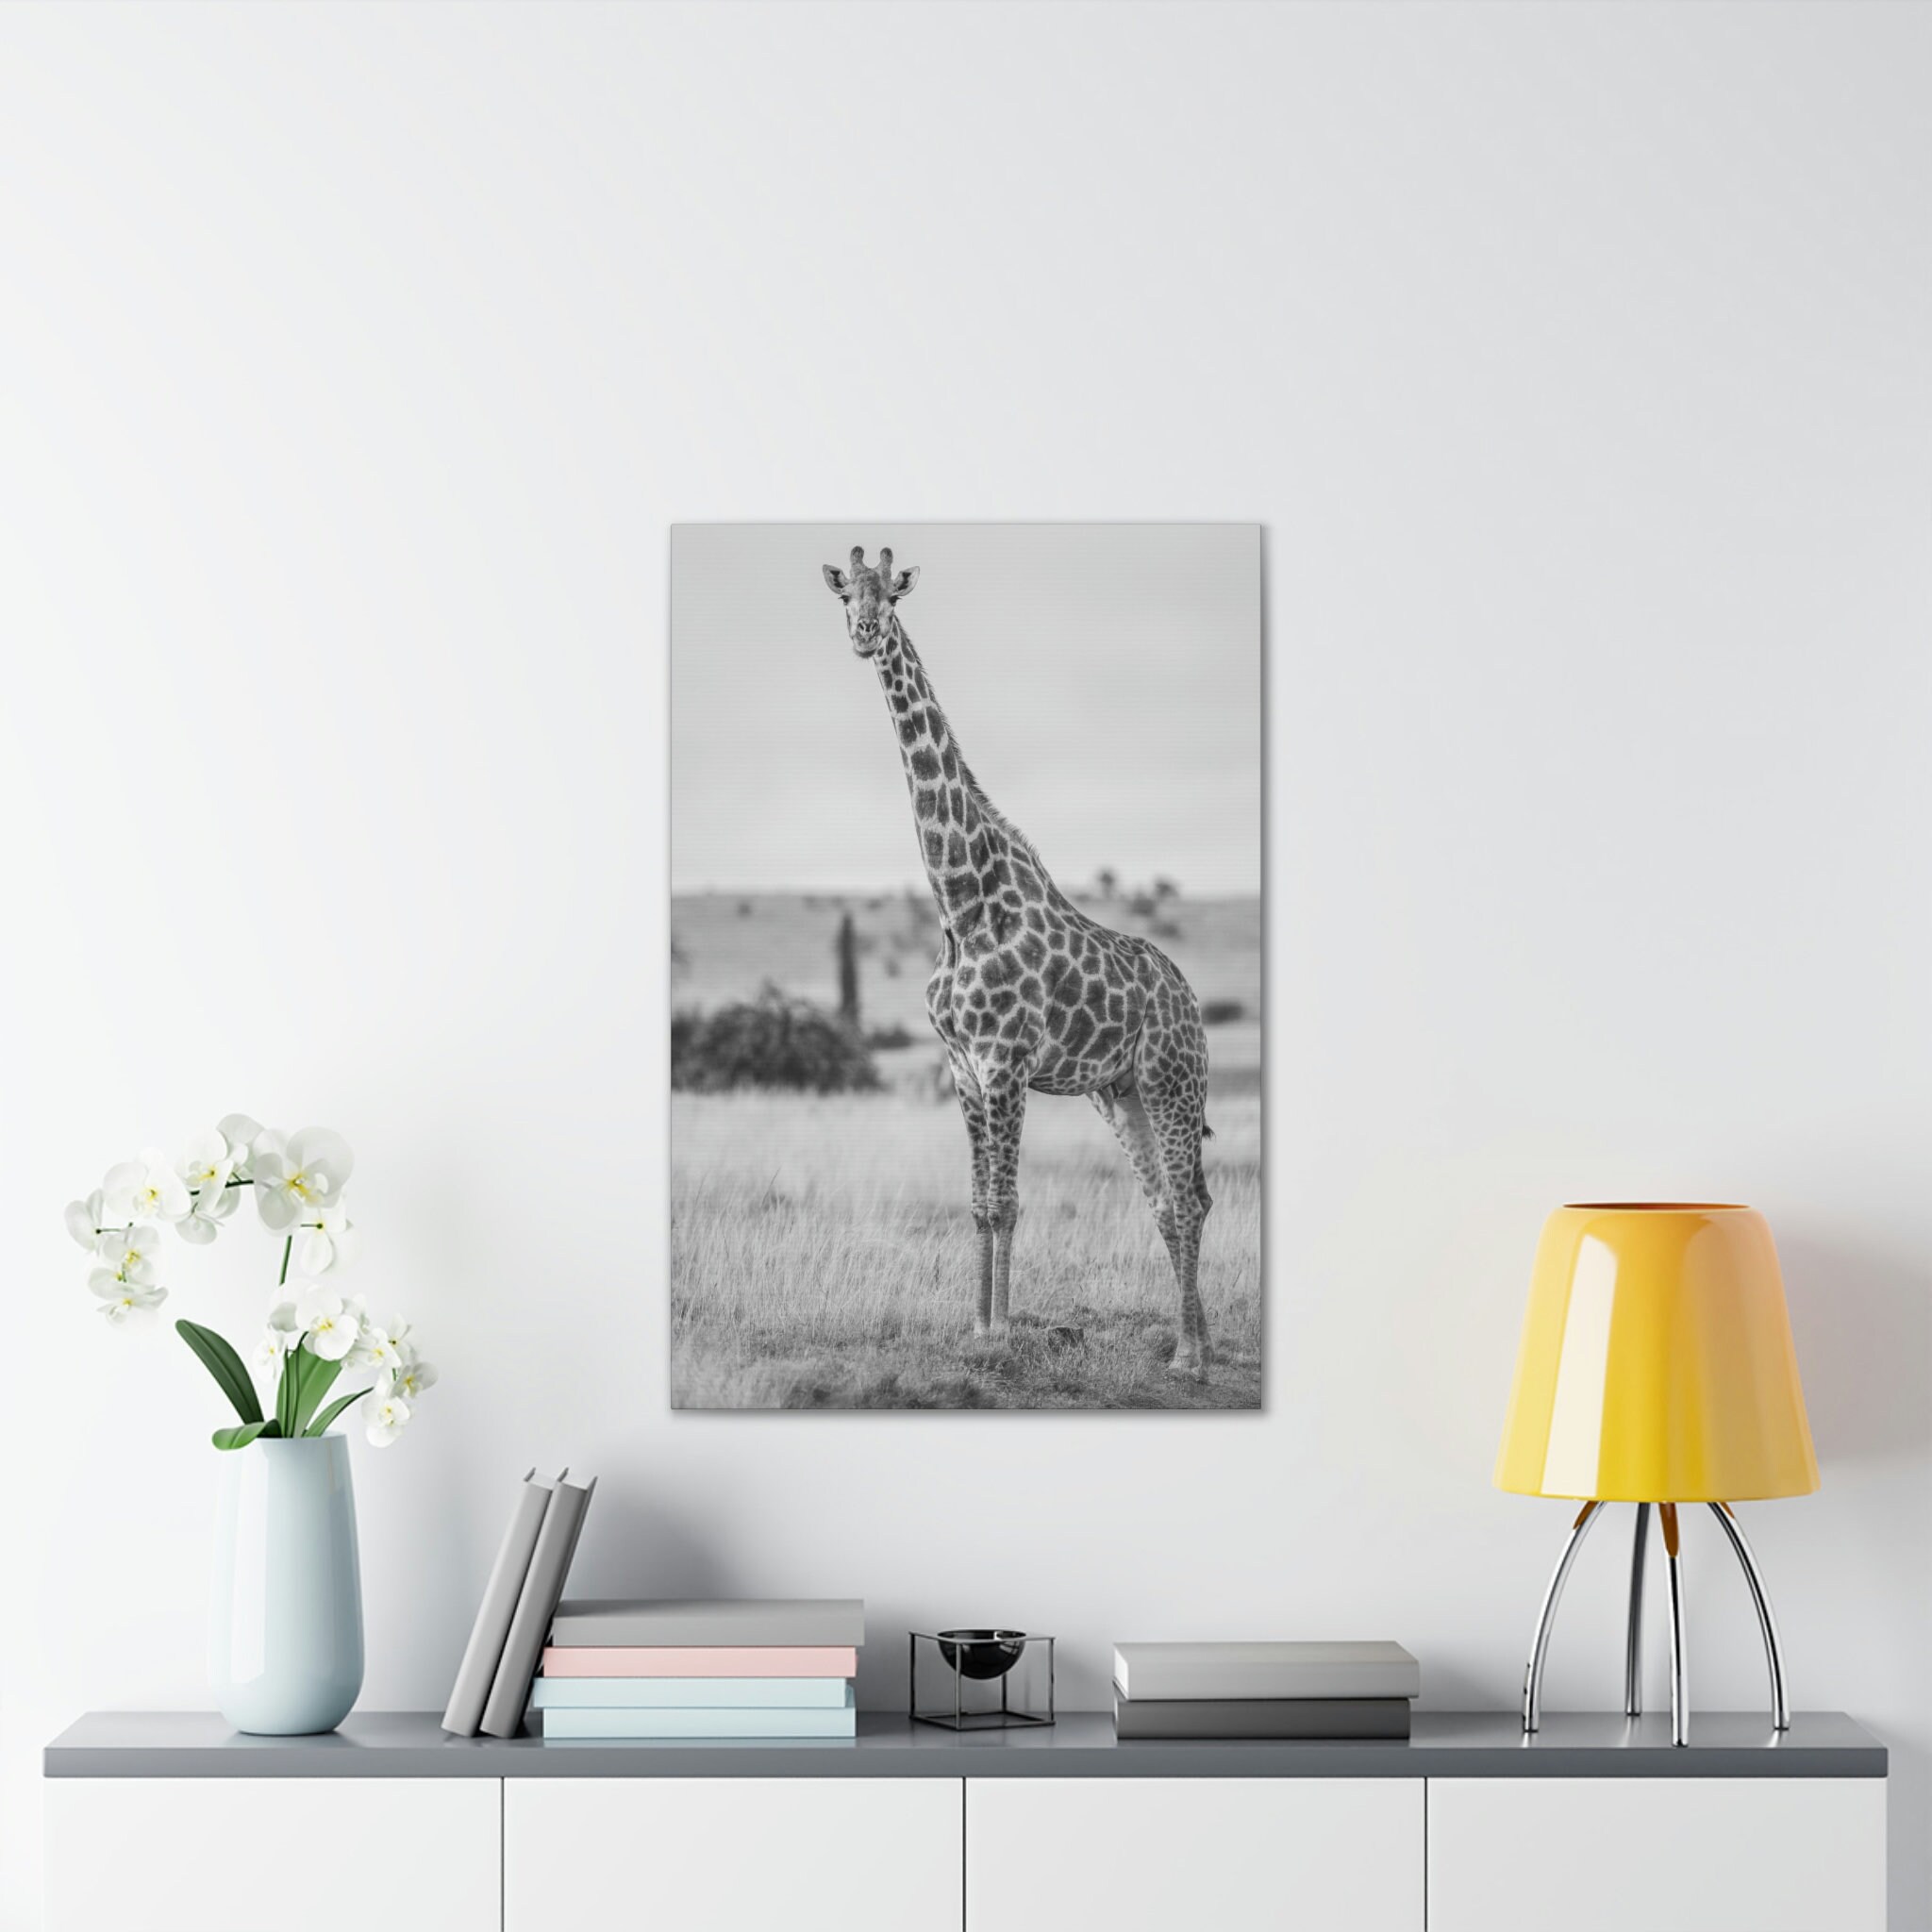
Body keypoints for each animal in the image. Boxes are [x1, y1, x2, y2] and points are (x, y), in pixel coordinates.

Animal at [821, 546, 1216, 1378]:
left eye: (891, 597)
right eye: (845, 598)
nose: (866, 635)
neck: (960, 901)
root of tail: (1190, 1001)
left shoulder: (1005, 1062)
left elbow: (1006, 1202)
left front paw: (1002, 1334)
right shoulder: (964, 1068)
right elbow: (978, 1204)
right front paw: (977, 1328)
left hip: (1172, 1081)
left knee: (1192, 1198)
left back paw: (1190, 1357)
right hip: (1120, 1093)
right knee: (1167, 1202)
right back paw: (1188, 1345)